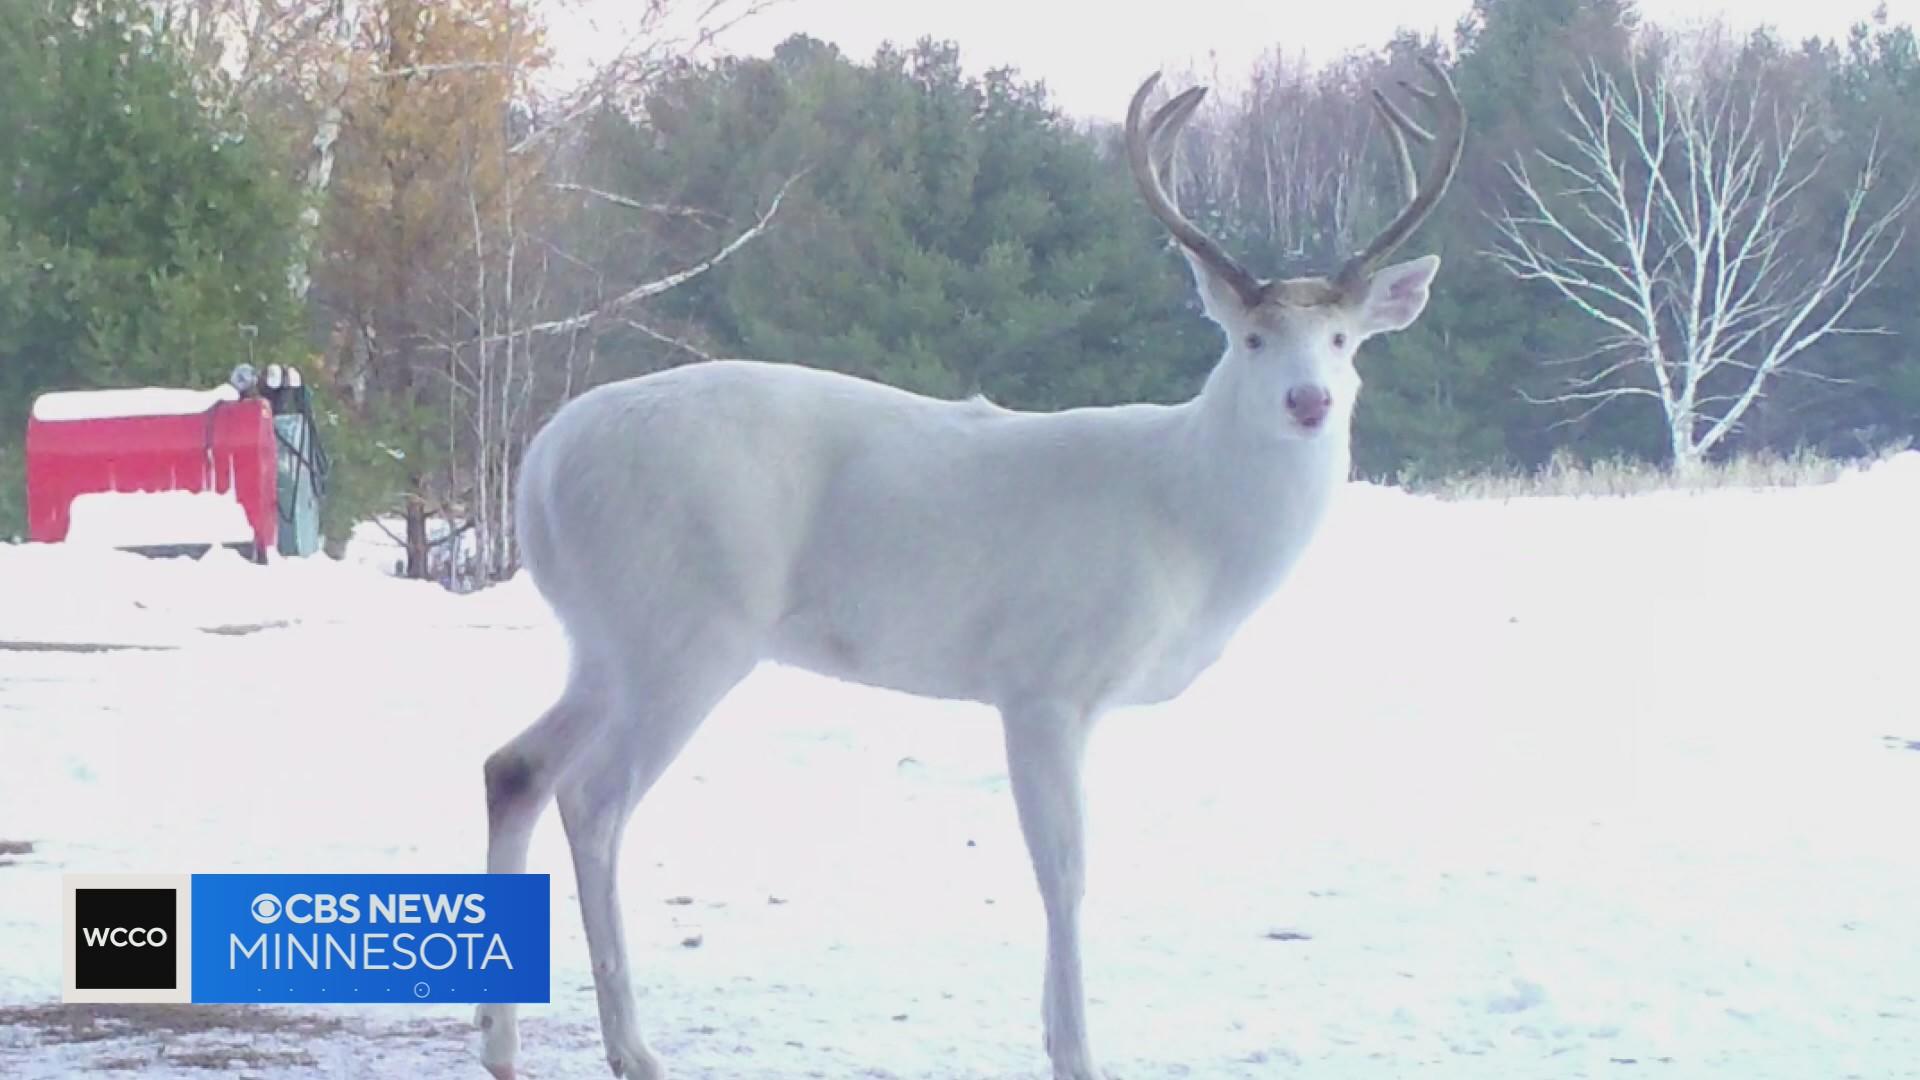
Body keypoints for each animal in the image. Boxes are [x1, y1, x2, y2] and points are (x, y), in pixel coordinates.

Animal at [475, 58, 1465, 1080]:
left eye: (1344, 339)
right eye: (1252, 338)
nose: (1308, 401)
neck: (1191, 529)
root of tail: (541, 464)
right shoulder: (1043, 676)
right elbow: (1063, 871)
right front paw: (1074, 1052)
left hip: (605, 635)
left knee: (514, 765)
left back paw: (501, 1041)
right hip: (687, 625)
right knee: (593, 798)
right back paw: (632, 1047)